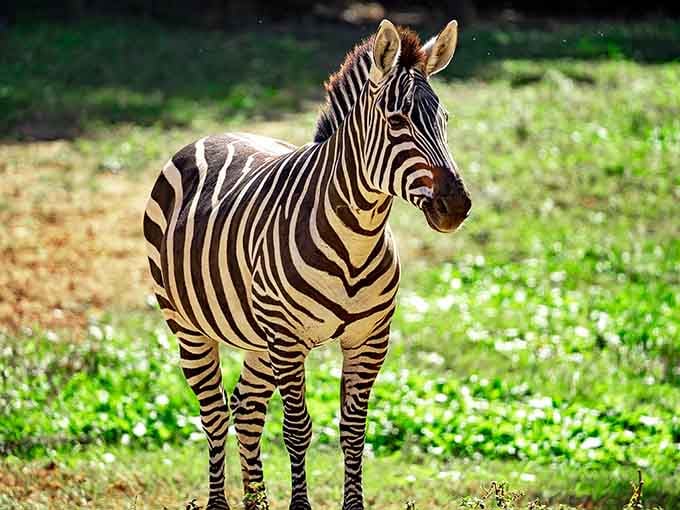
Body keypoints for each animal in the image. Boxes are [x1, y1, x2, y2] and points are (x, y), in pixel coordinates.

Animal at [143, 19, 470, 510]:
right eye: (397, 121)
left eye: (444, 120)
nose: (457, 206)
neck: (357, 238)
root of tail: (212, 134)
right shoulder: (288, 339)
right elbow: (298, 429)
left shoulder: (369, 340)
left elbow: (353, 431)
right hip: (190, 327)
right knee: (215, 413)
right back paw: (220, 501)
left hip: (258, 339)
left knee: (247, 410)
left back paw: (256, 503)